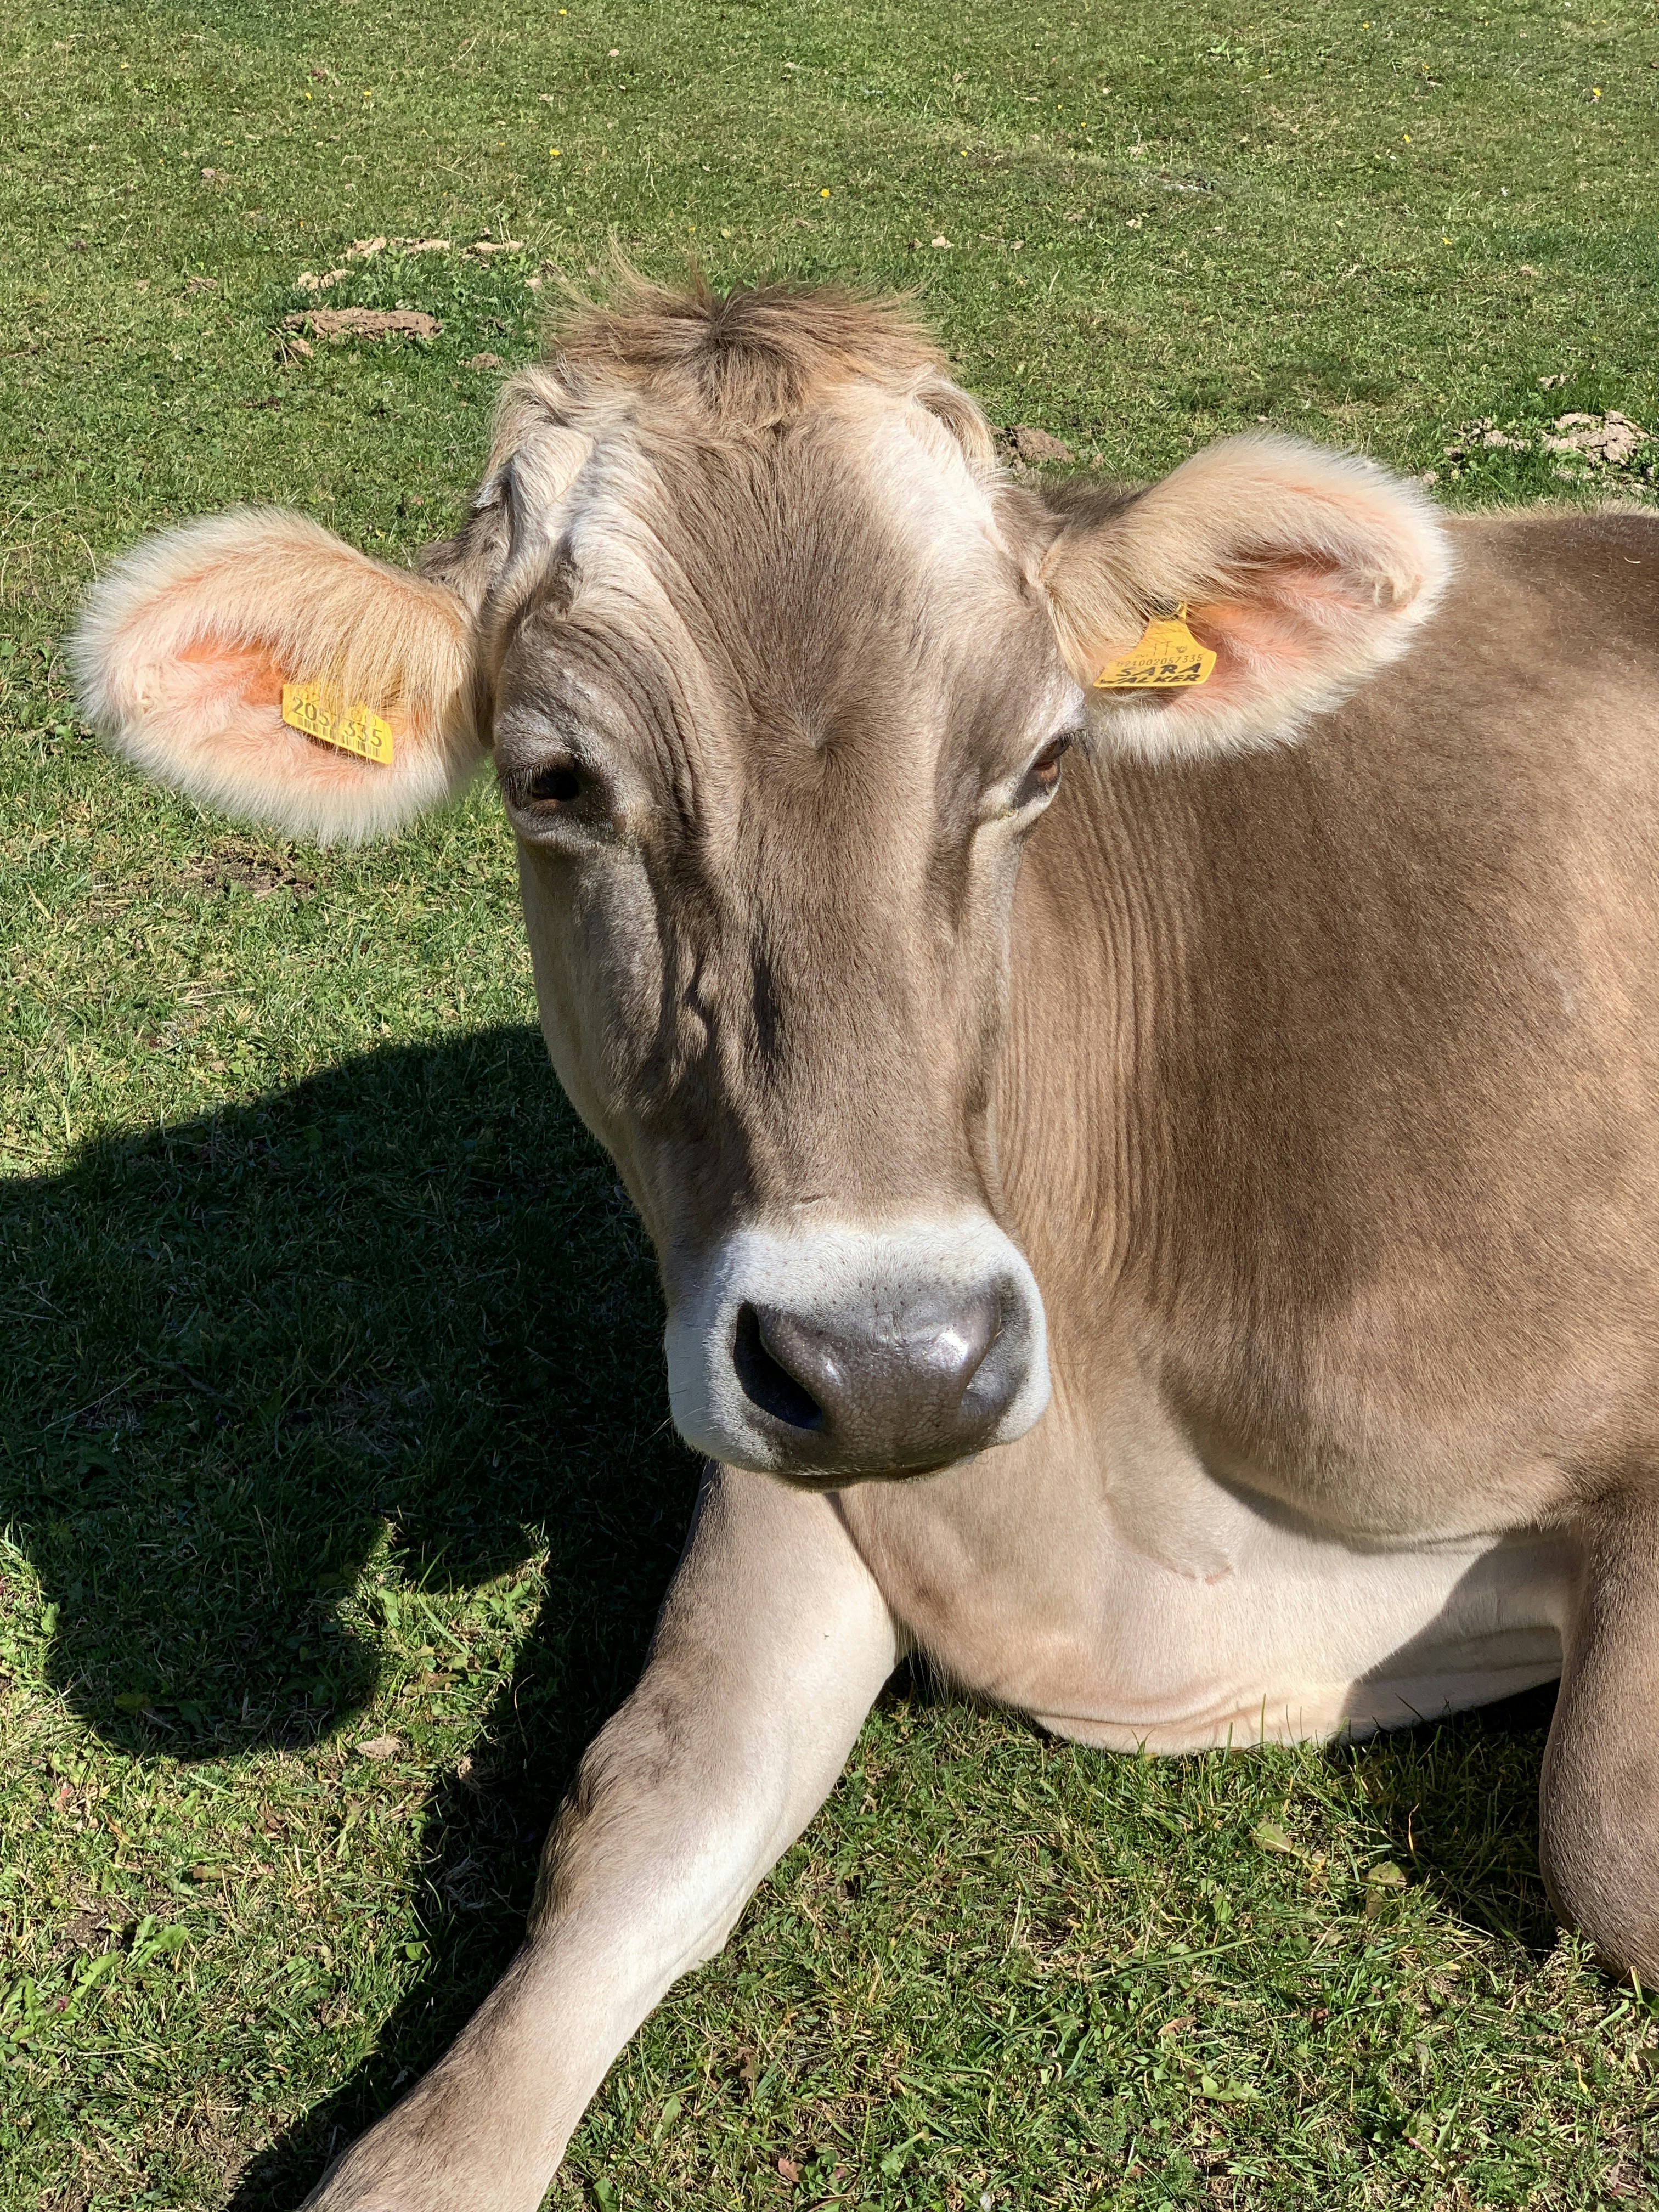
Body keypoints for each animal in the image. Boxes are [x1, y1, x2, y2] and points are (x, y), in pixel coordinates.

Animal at [74, 279, 1659, 2212]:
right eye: (557, 779)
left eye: (1043, 761)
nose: (901, 1362)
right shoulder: (789, 1459)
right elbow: (633, 1815)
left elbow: (1606, 1830)